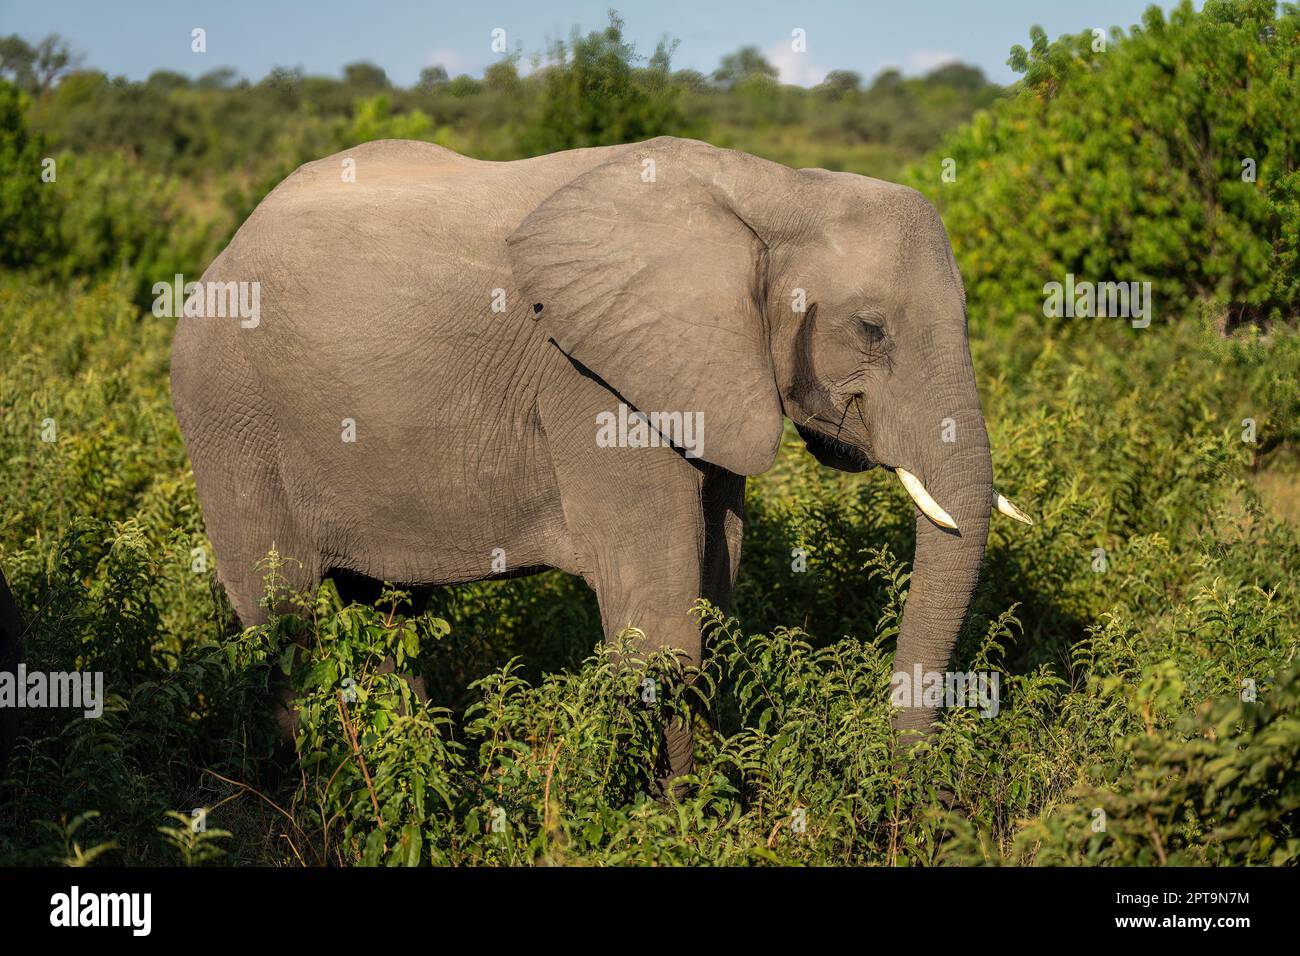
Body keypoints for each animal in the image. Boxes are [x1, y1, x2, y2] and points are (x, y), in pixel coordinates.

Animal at [170, 136, 1030, 787]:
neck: (776, 188)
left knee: (391, 613)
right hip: (228, 417)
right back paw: (317, 798)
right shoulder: (590, 381)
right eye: (871, 328)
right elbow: (661, 624)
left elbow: (713, 588)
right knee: (284, 619)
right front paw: (680, 818)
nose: (907, 785)